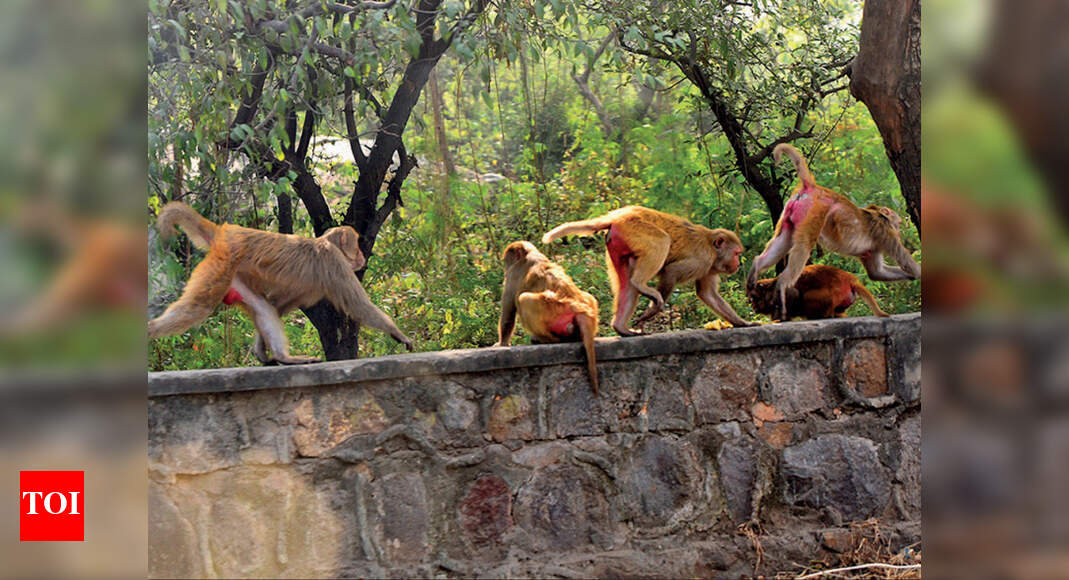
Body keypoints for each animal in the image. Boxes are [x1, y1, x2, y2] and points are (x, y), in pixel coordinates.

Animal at [148, 202, 413, 364]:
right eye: (356, 244)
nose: (361, 256)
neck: (327, 244)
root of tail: (225, 232)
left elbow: (277, 306)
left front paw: (261, 350)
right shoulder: (335, 264)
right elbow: (359, 306)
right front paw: (397, 333)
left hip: (235, 272)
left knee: (263, 307)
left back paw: (282, 357)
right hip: (222, 264)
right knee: (197, 308)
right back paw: (150, 330)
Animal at [494, 241, 600, 395]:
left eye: (508, 261)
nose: (505, 270)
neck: (529, 255)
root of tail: (581, 309)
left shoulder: (513, 275)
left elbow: (509, 313)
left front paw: (502, 343)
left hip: (550, 309)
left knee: (524, 299)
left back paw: (545, 340)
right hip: (587, 305)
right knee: (589, 297)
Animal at [542, 205, 754, 336]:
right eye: (736, 253)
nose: (737, 263)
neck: (711, 247)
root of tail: (617, 216)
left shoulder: (709, 268)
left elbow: (707, 293)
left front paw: (742, 323)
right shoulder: (701, 260)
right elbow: (672, 271)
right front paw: (651, 312)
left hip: (619, 243)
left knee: (627, 283)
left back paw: (620, 327)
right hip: (637, 229)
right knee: (661, 242)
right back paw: (641, 285)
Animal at [747, 264, 889, 321]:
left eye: (754, 298)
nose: (753, 306)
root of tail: (849, 279)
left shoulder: (780, 292)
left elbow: (793, 293)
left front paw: (782, 318)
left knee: (807, 296)